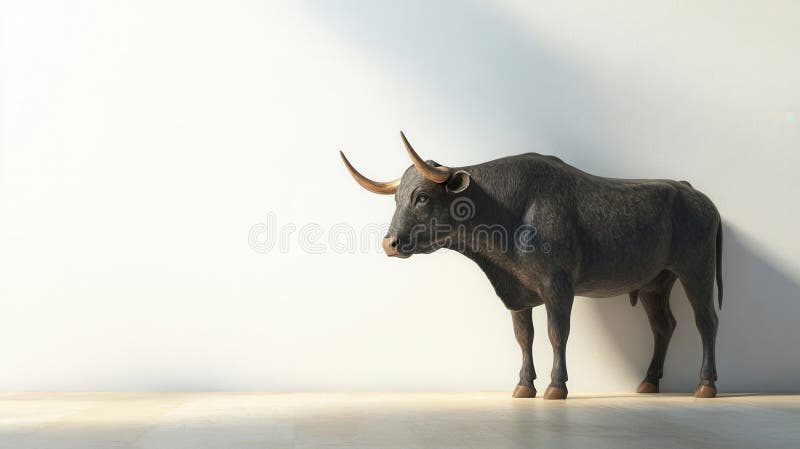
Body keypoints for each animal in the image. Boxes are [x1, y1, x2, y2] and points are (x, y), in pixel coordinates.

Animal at [339, 132, 722, 400]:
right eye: (397, 198)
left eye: (422, 197)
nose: (389, 243)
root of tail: (693, 193)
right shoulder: (517, 292)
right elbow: (524, 337)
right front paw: (524, 386)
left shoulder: (558, 287)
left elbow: (556, 333)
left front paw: (556, 387)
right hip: (656, 282)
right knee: (664, 325)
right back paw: (649, 382)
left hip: (696, 272)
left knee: (706, 322)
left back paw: (705, 385)